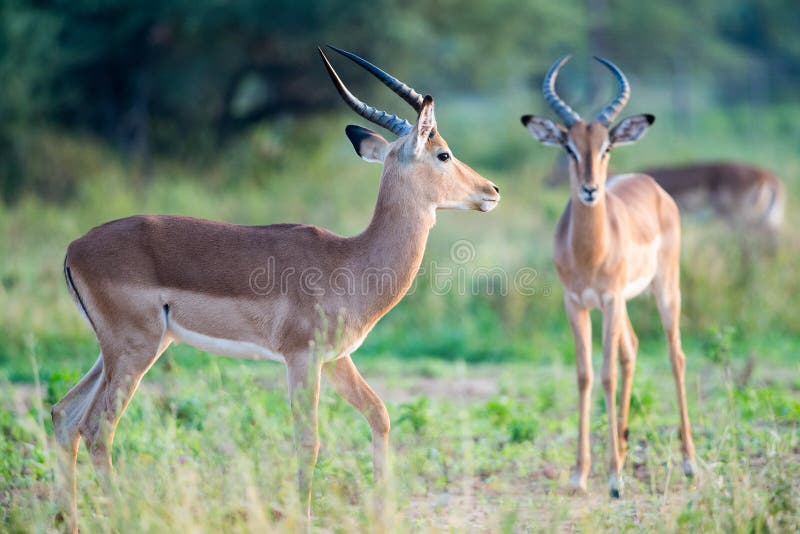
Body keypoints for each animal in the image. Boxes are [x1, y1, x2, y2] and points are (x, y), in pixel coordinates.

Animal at [51, 45, 500, 530]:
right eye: (443, 154)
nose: (491, 190)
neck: (351, 261)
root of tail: (74, 248)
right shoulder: (301, 358)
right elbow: (309, 440)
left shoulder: (336, 359)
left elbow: (379, 414)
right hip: (136, 350)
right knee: (98, 428)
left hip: (119, 352)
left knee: (64, 416)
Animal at [521, 56, 696, 497]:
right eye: (569, 147)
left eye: (607, 147)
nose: (589, 190)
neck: (588, 252)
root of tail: (652, 185)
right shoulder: (576, 303)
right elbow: (585, 375)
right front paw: (580, 474)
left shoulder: (611, 299)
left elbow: (606, 374)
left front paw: (615, 479)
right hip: (622, 305)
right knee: (631, 349)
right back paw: (622, 443)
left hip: (664, 289)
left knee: (675, 356)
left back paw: (689, 463)